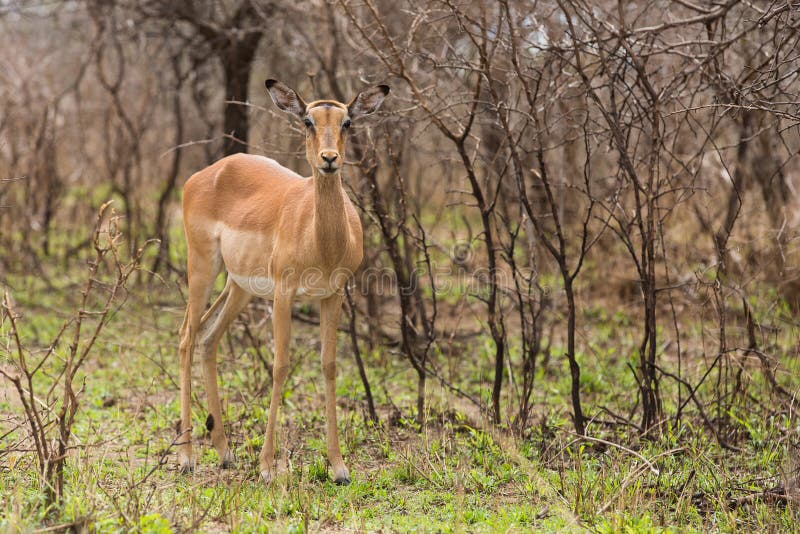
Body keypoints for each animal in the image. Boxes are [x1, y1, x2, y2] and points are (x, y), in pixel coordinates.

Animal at [177, 79, 389, 485]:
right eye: (307, 120)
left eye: (347, 122)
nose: (329, 158)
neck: (321, 240)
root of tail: (205, 174)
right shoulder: (285, 294)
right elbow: (280, 367)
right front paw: (266, 467)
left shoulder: (333, 294)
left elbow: (329, 365)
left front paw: (339, 466)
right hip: (202, 268)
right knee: (186, 337)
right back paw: (187, 458)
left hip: (239, 288)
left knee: (209, 340)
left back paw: (224, 452)